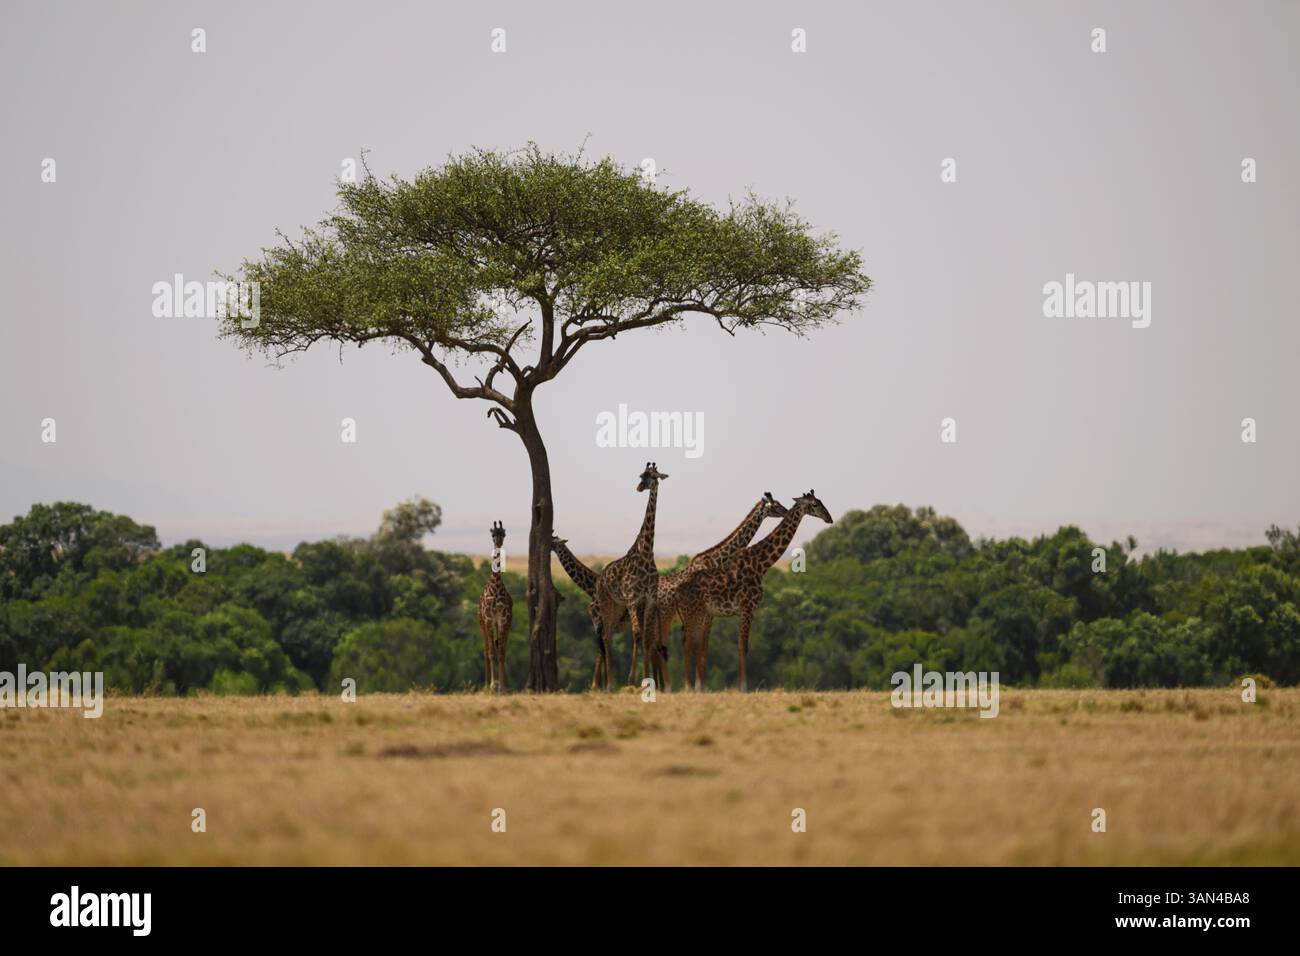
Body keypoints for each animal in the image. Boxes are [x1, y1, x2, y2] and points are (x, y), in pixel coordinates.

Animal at [591, 462, 668, 691]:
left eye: (652, 476)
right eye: (641, 474)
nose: (639, 487)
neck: (647, 553)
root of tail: (600, 578)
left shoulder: (649, 600)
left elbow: (646, 639)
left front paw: (647, 680)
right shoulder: (634, 600)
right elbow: (636, 634)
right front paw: (632, 680)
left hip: (618, 606)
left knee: (608, 635)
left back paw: (609, 683)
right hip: (606, 603)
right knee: (606, 636)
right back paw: (609, 684)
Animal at [653, 492, 788, 690]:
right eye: (777, 505)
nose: (787, 511)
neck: (717, 558)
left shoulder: (707, 614)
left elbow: (701, 647)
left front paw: (700, 685)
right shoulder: (708, 614)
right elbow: (702, 647)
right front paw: (700, 686)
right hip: (665, 616)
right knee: (660, 646)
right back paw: (667, 687)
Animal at [676, 490, 833, 691]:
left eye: (820, 502)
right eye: (814, 505)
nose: (829, 518)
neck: (761, 564)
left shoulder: (736, 612)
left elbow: (733, 647)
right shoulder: (746, 608)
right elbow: (743, 647)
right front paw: (743, 688)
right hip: (694, 614)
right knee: (688, 644)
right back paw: (688, 686)